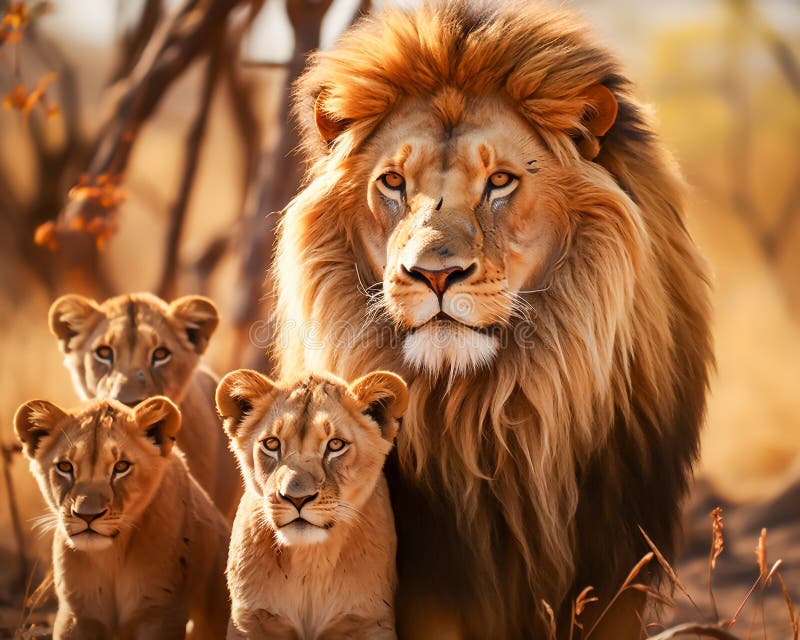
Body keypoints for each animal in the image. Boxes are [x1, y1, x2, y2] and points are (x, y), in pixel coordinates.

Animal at [14, 396, 230, 640]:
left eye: (121, 467)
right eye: (65, 467)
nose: (87, 514)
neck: (111, 557)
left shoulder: (159, 612)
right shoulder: (76, 614)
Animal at [217, 369, 406, 639]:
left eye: (335, 445)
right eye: (272, 444)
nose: (297, 498)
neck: (310, 563)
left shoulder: (368, 621)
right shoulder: (251, 620)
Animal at [272, 1, 714, 638]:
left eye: (500, 181)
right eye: (393, 183)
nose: (433, 274)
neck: (486, 411)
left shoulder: (615, 562)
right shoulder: (426, 582)